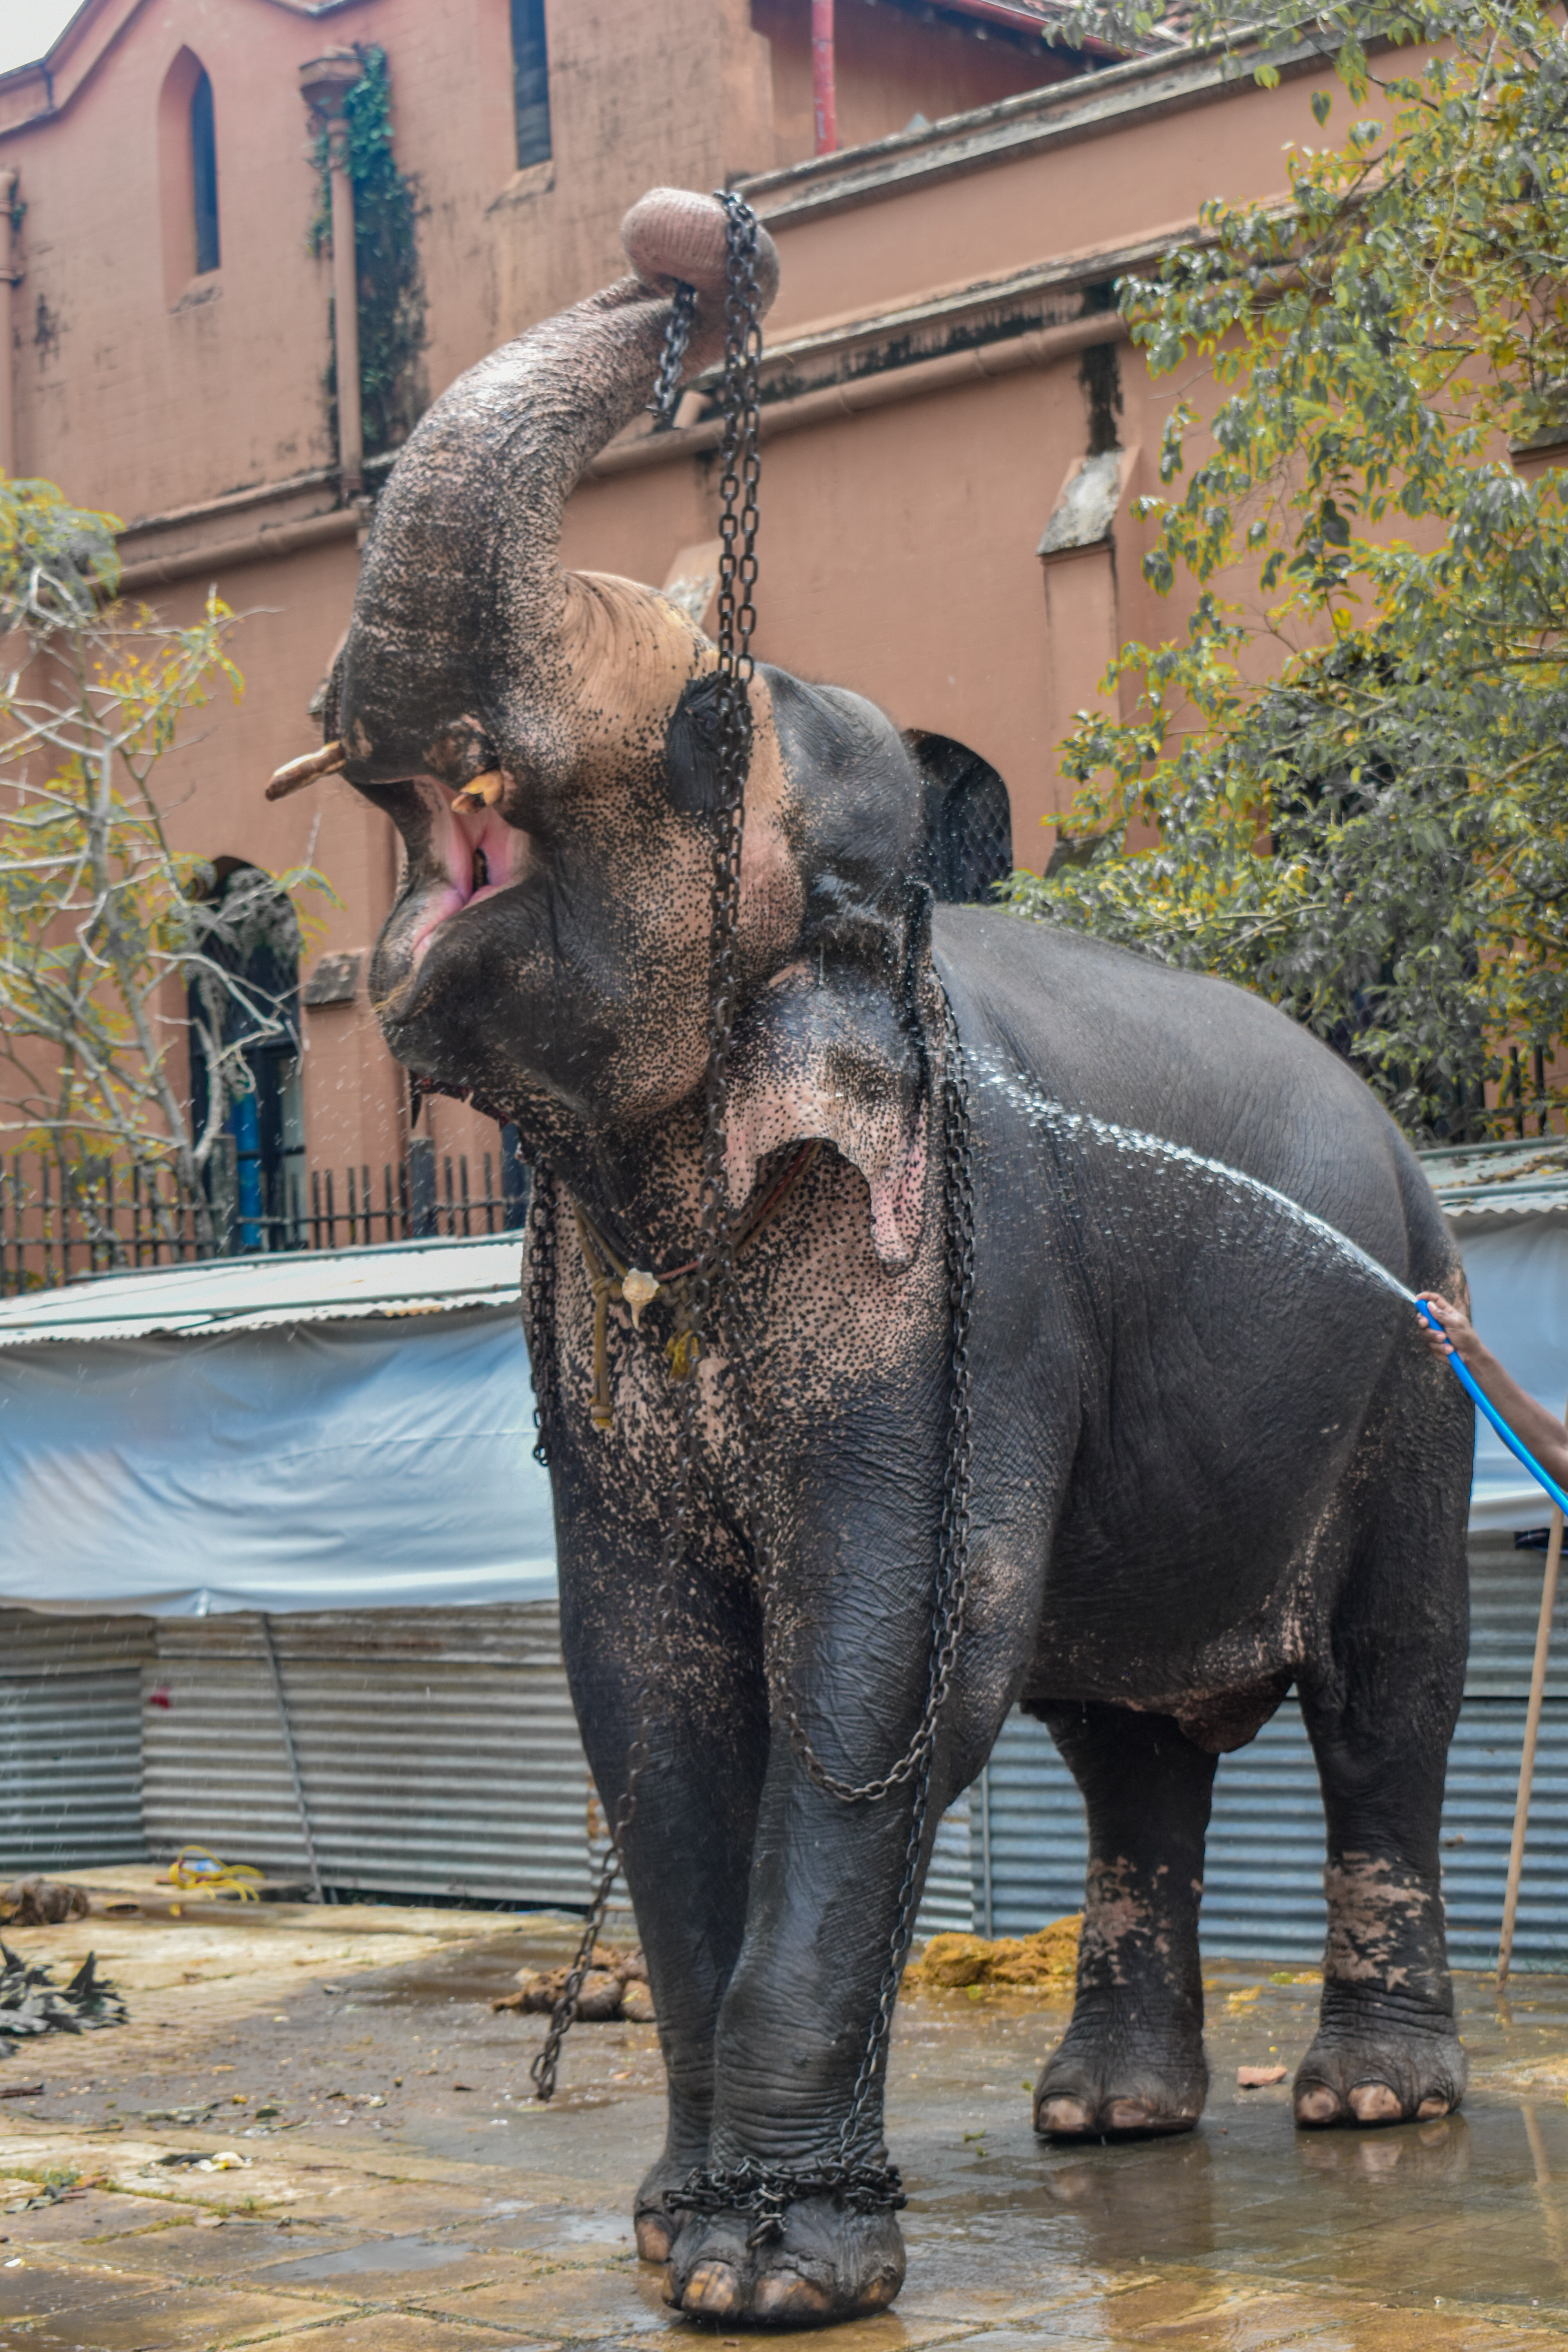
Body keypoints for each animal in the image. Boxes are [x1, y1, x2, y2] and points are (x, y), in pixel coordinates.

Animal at [298, 187, 1473, 2327]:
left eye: (701, 726)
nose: (700, 243)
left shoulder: (947, 1283)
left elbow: (878, 1673)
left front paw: (777, 2276)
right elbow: (643, 1681)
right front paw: (679, 2238)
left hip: (1413, 1367)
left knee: (1379, 1698)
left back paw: (1362, 2105)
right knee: (1124, 1749)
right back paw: (1105, 2121)